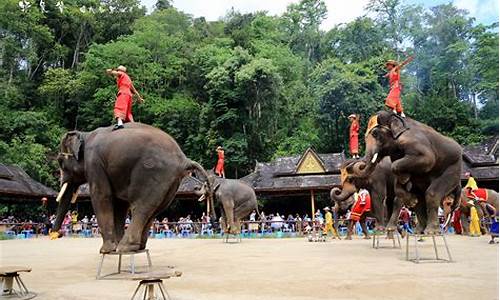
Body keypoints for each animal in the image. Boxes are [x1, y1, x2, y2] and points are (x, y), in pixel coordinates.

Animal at [51, 122, 214, 253]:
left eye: (60, 162)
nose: (55, 235)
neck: (85, 134)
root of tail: (184, 159)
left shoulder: (94, 163)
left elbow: (102, 195)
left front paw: (106, 250)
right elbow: (120, 204)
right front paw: (113, 248)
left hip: (154, 173)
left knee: (141, 207)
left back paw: (125, 247)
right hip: (171, 181)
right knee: (155, 209)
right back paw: (137, 247)